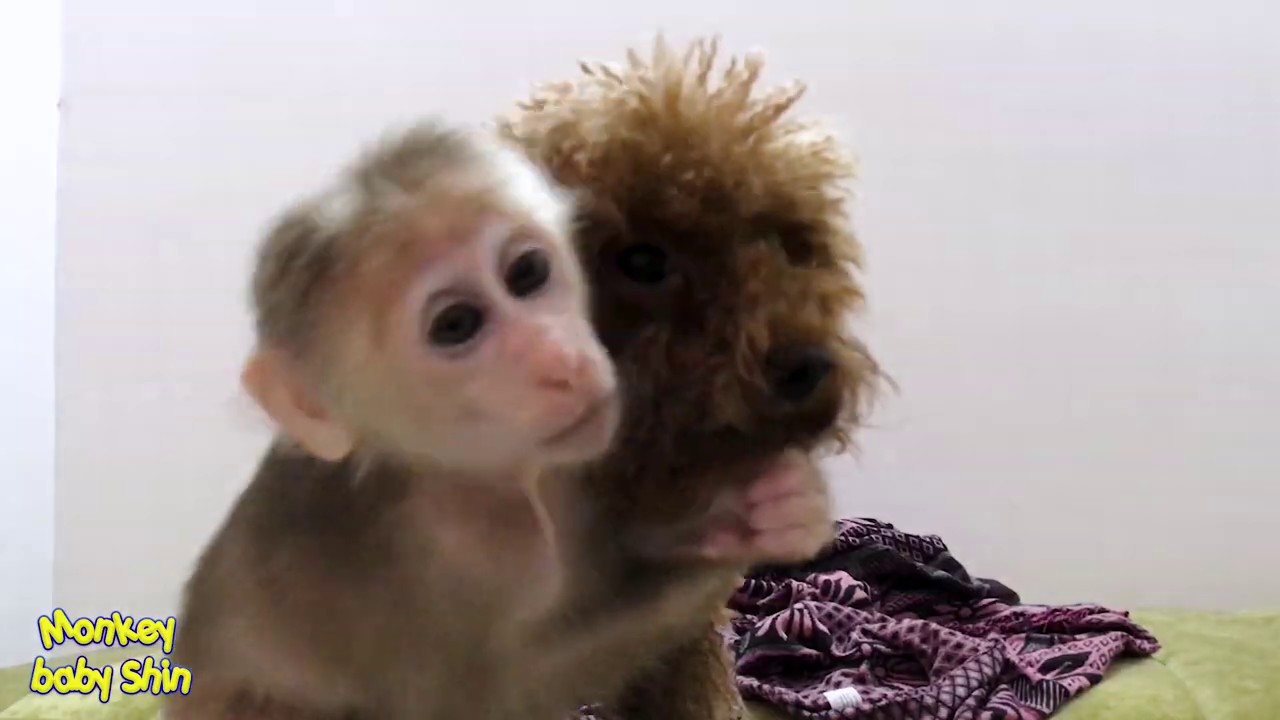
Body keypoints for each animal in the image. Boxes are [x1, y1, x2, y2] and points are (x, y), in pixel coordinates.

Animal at [163, 120, 835, 720]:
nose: (560, 360)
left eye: (527, 273)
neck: (485, 481)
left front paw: (779, 508)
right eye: (457, 324)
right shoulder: (449, 558)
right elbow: (507, 692)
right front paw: (732, 551)